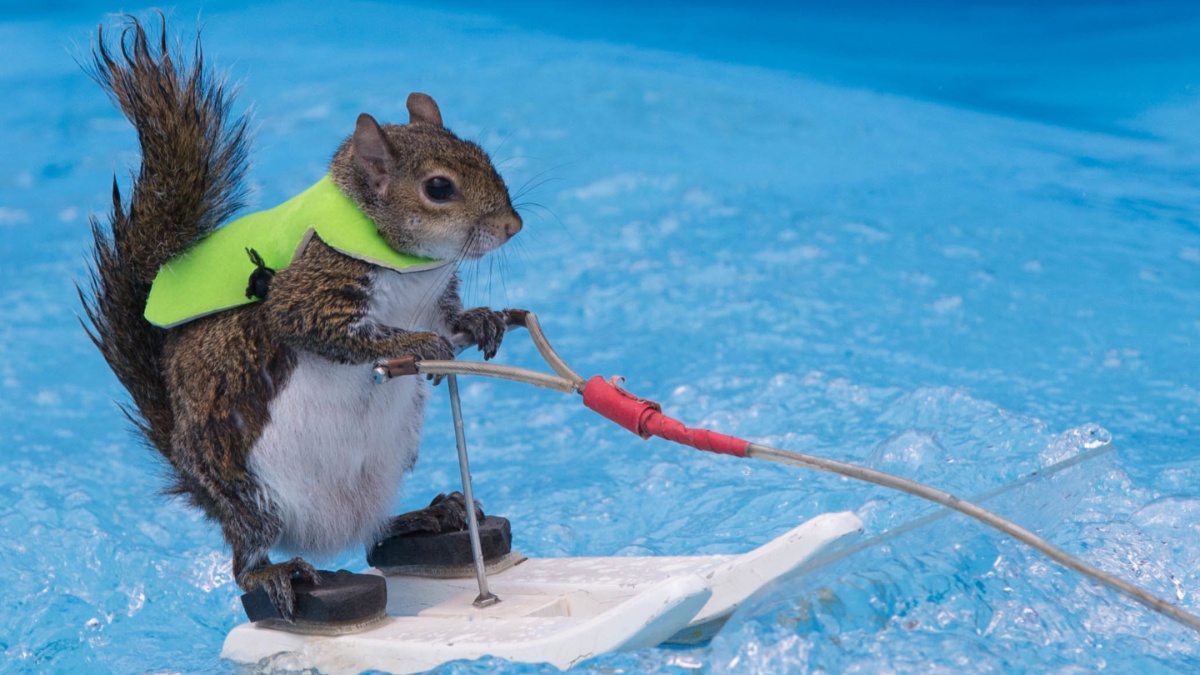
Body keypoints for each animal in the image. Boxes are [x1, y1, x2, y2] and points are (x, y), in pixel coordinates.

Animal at [82, 17, 522, 621]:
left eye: (477, 151)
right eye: (439, 187)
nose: (513, 226)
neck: (411, 270)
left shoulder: (435, 296)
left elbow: (452, 318)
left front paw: (480, 322)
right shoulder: (310, 287)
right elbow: (321, 328)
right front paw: (419, 343)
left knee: (374, 535)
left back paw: (433, 514)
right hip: (244, 490)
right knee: (246, 560)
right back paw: (273, 572)